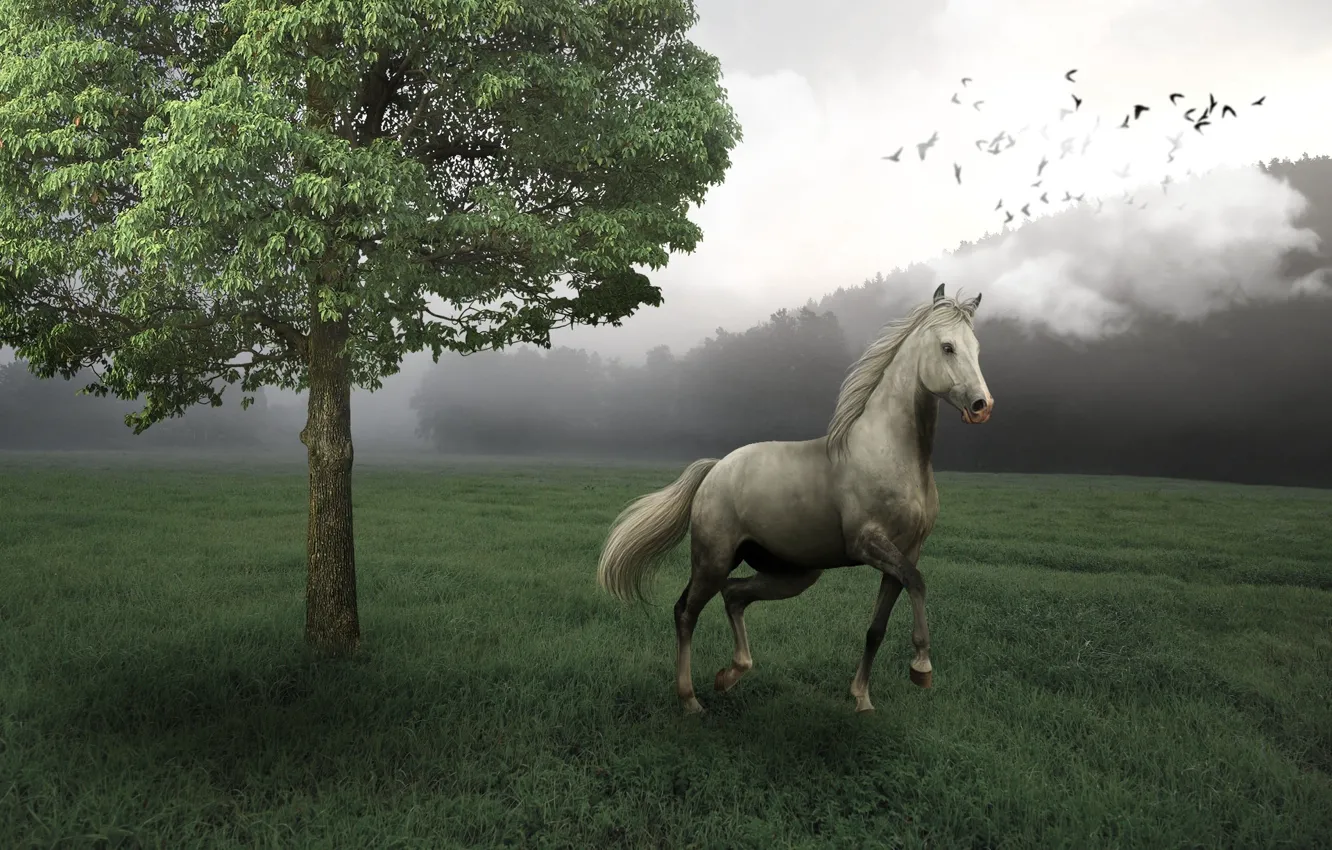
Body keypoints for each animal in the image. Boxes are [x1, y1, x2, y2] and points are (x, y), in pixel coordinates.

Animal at [596, 283, 994, 714]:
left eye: (977, 348)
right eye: (947, 346)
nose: (982, 406)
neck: (888, 452)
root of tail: (715, 469)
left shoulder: (906, 552)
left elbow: (878, 625)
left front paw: (862, 698)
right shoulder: (868, 544)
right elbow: (918, 584)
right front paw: (922, 669)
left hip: (791, 573)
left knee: (734, 595)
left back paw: (730, 675)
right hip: (713, 559)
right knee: (685, 612)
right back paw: (690, 701)